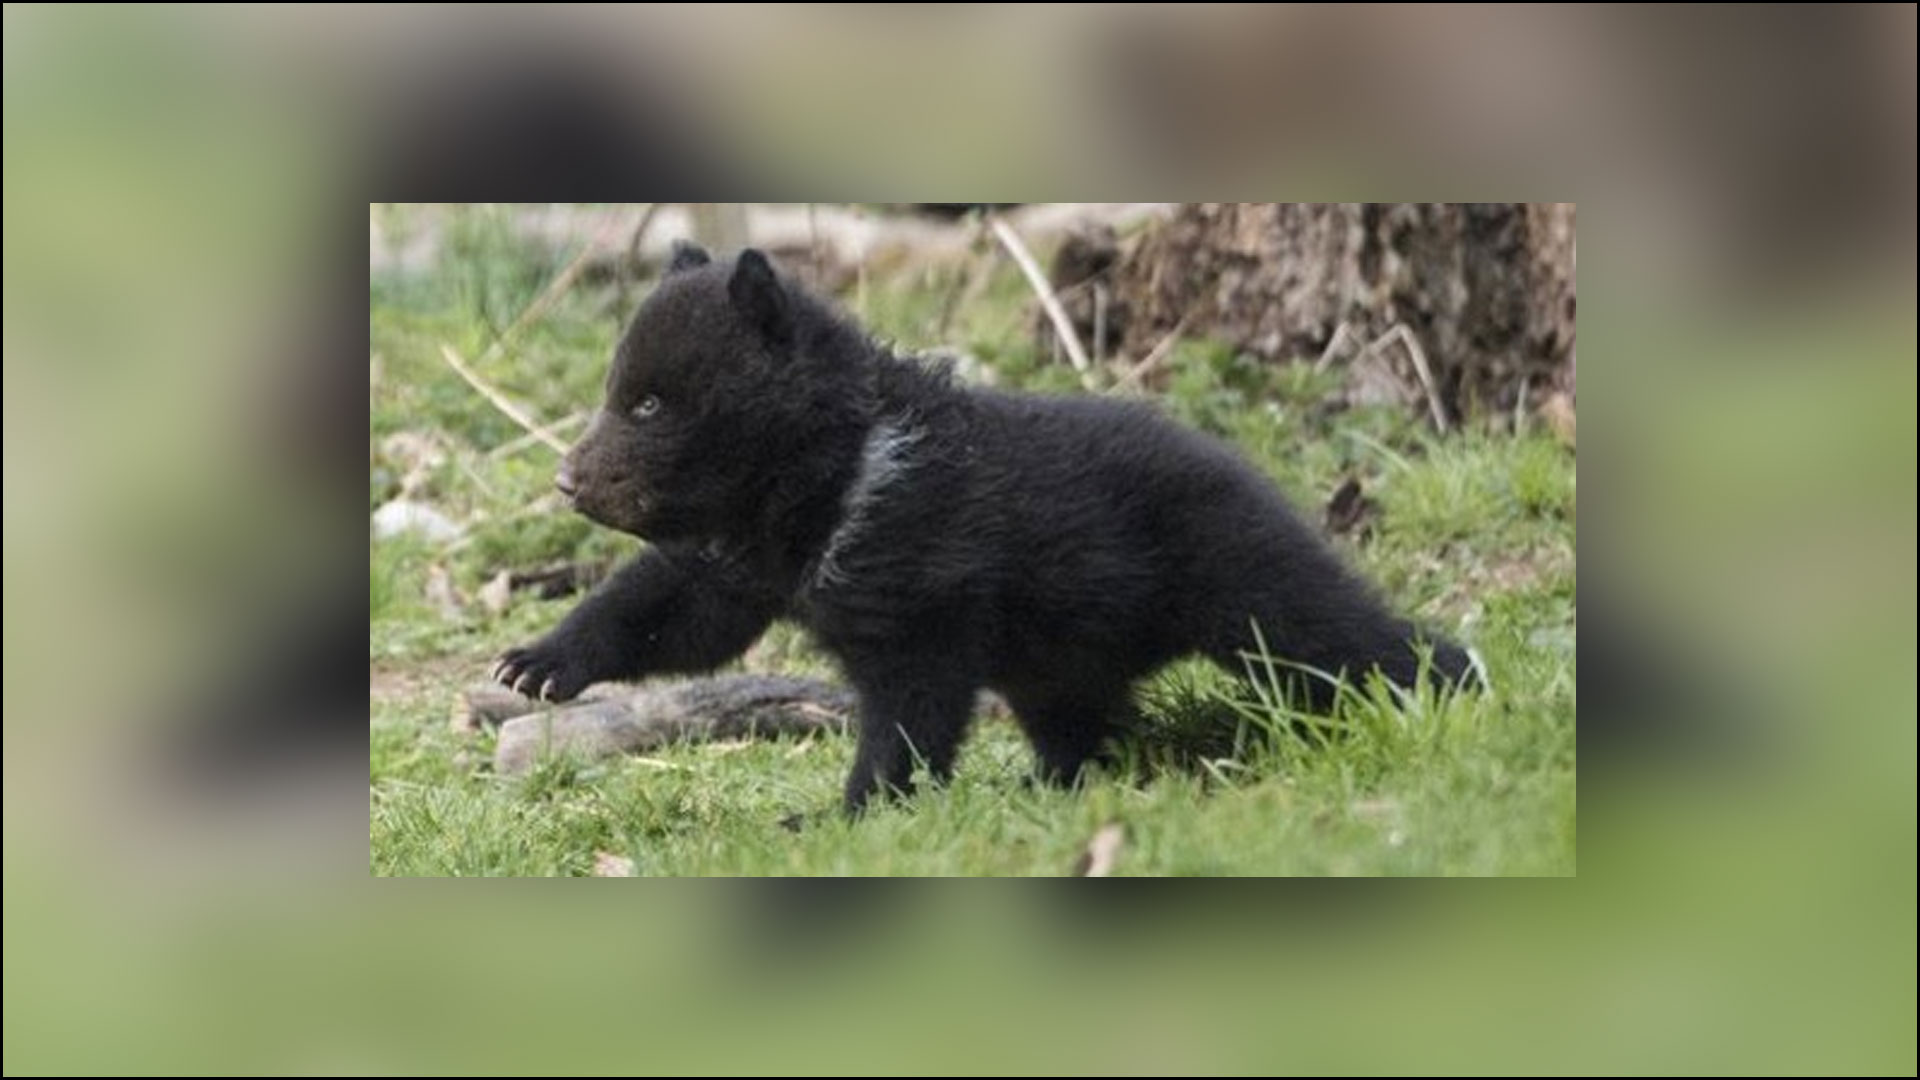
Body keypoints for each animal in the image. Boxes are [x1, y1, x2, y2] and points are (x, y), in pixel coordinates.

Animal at [494, 241, 1476, 813]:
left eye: (650, 403)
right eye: (619, 389)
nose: (568, 478)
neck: (834, 483)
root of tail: (1241, 462)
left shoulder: (922, 571)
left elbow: (912, 702)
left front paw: (849, 809)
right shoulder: (752, 555)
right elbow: (681, 610)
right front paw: (535, 663)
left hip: (1225, 557)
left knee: (1324, 627)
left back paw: (1449, 683)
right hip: (1066, 647)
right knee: (1083, 715)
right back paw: (1062, 778)